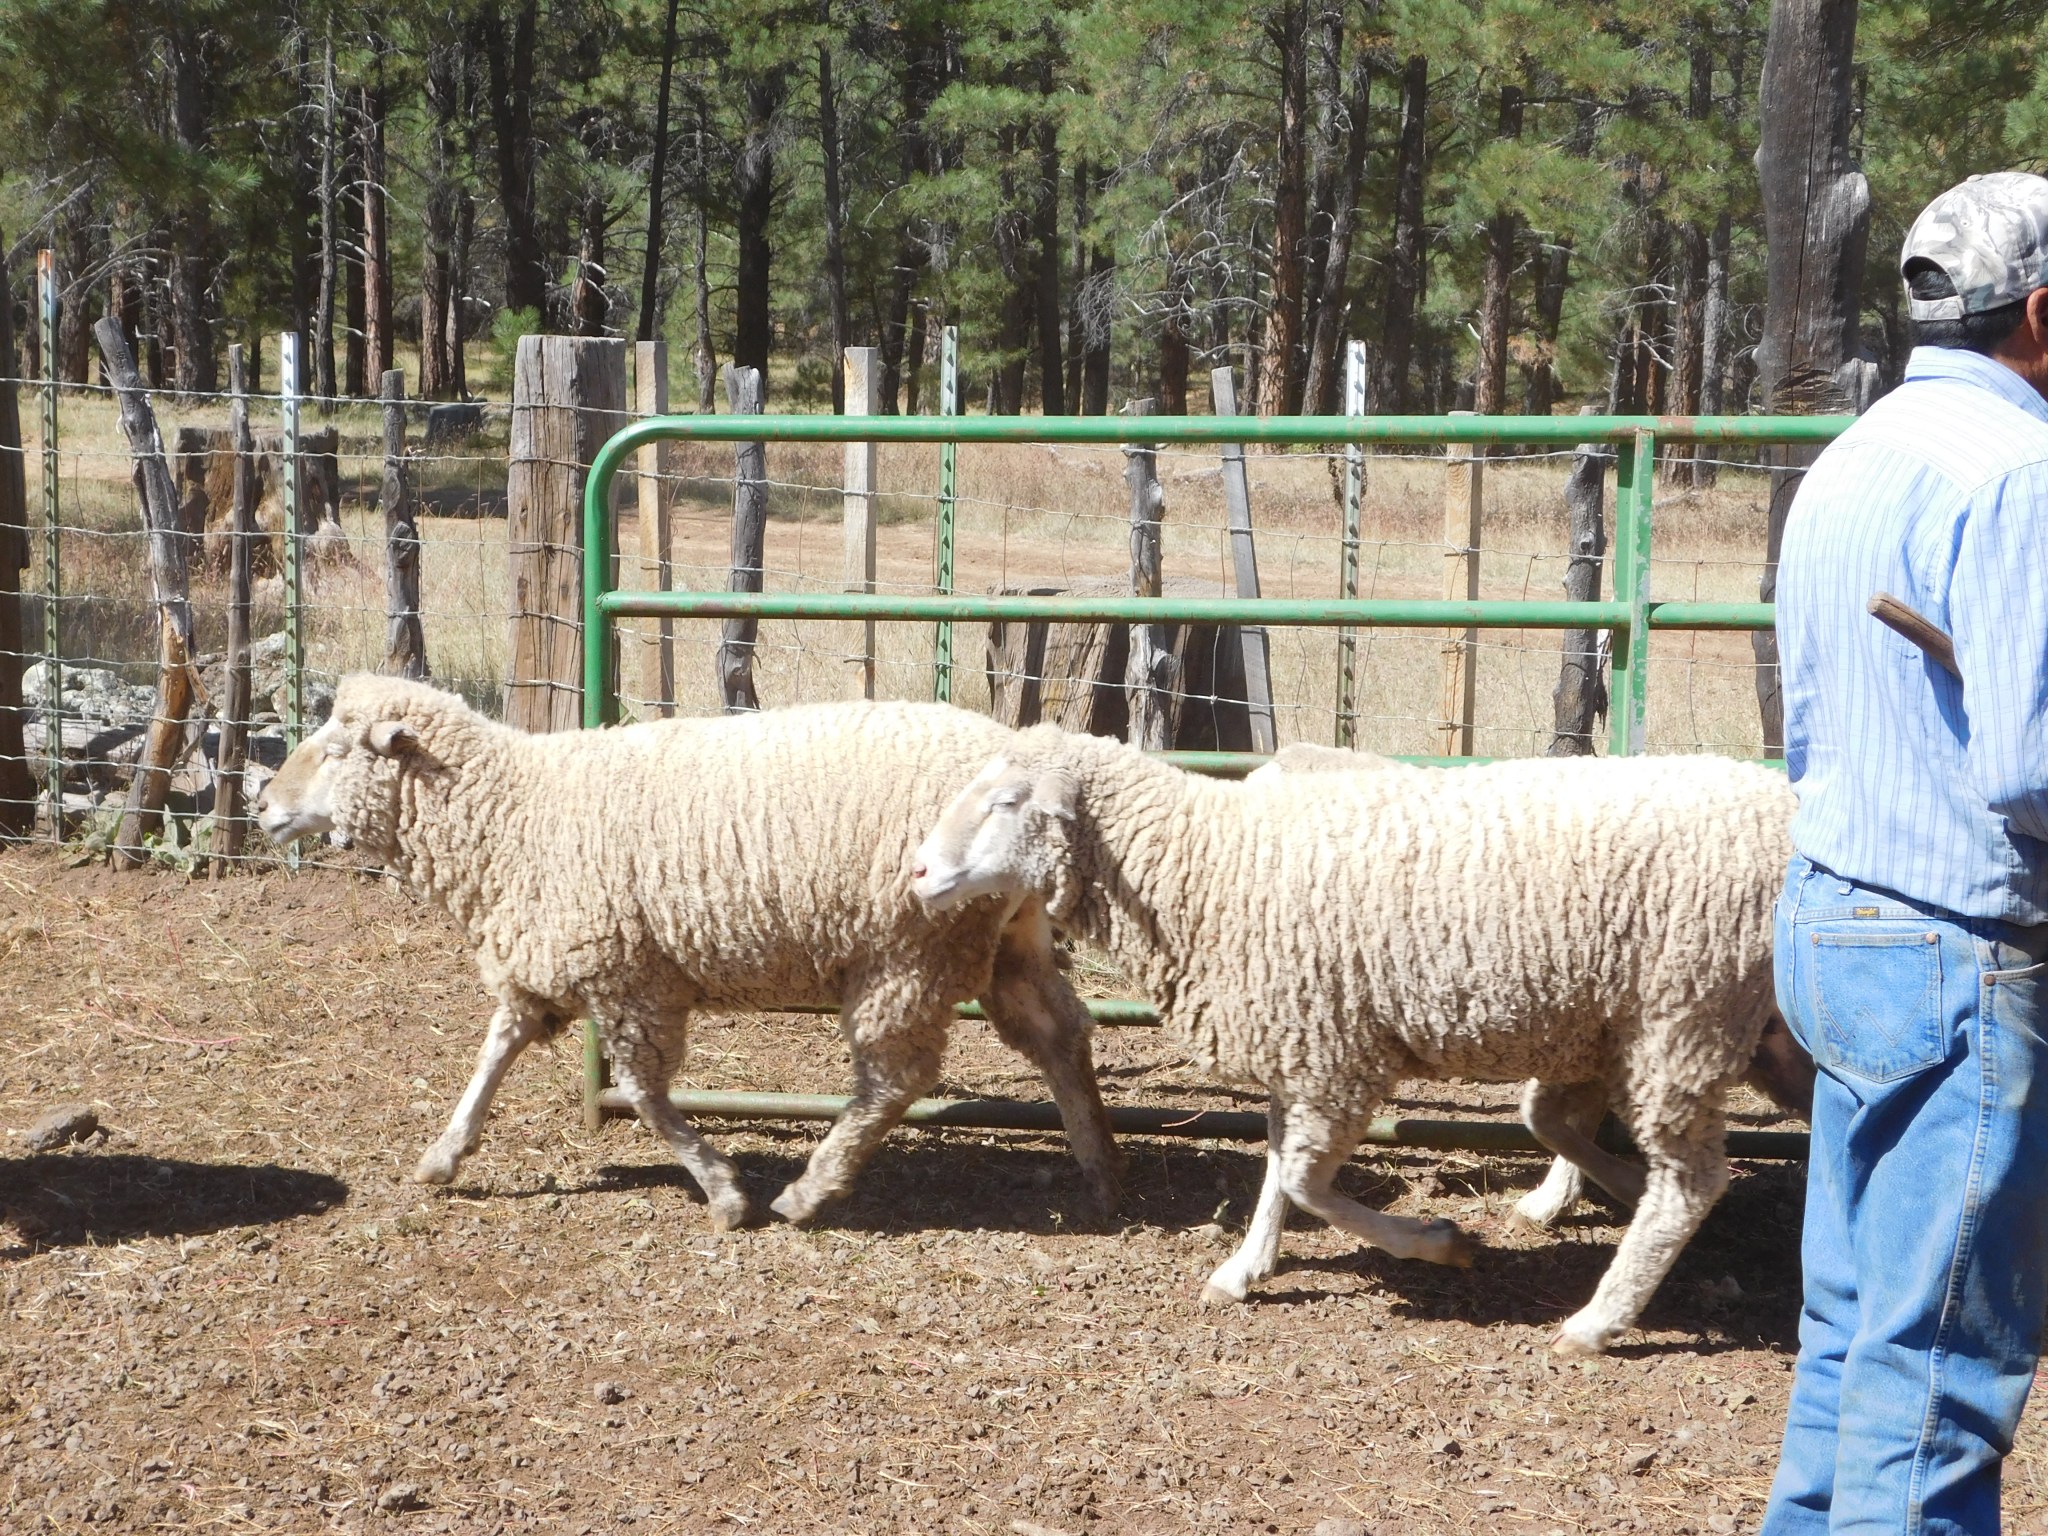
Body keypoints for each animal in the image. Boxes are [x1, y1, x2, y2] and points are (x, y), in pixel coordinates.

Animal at [255, 676, 1122, 1230]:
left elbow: (643, 1095)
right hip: (1006, 939)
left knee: (893, 1079)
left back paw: (810, 1192)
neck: (512, 813)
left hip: (909, 950)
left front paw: (723, 1190)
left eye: (337, 751)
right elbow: (495, 1052)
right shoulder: (549, 961)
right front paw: (444, 1155)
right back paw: (1098, 1162)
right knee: (1060, 1034)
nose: (261, 804)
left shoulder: (626, 975)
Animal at [910, 727, 1792, 1354]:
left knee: (1690, 1184)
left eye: (1008, 801)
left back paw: (1597, 1319)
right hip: (1743, 1031)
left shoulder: (1337, 1053)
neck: (1213, 862)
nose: (916, 874)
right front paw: (1244, 1269)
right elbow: (1277, 1168)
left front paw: (1437, 1243)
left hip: (1682, 1021)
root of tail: (1778, 807)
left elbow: (1304, 1182)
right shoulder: (1300, 1045)